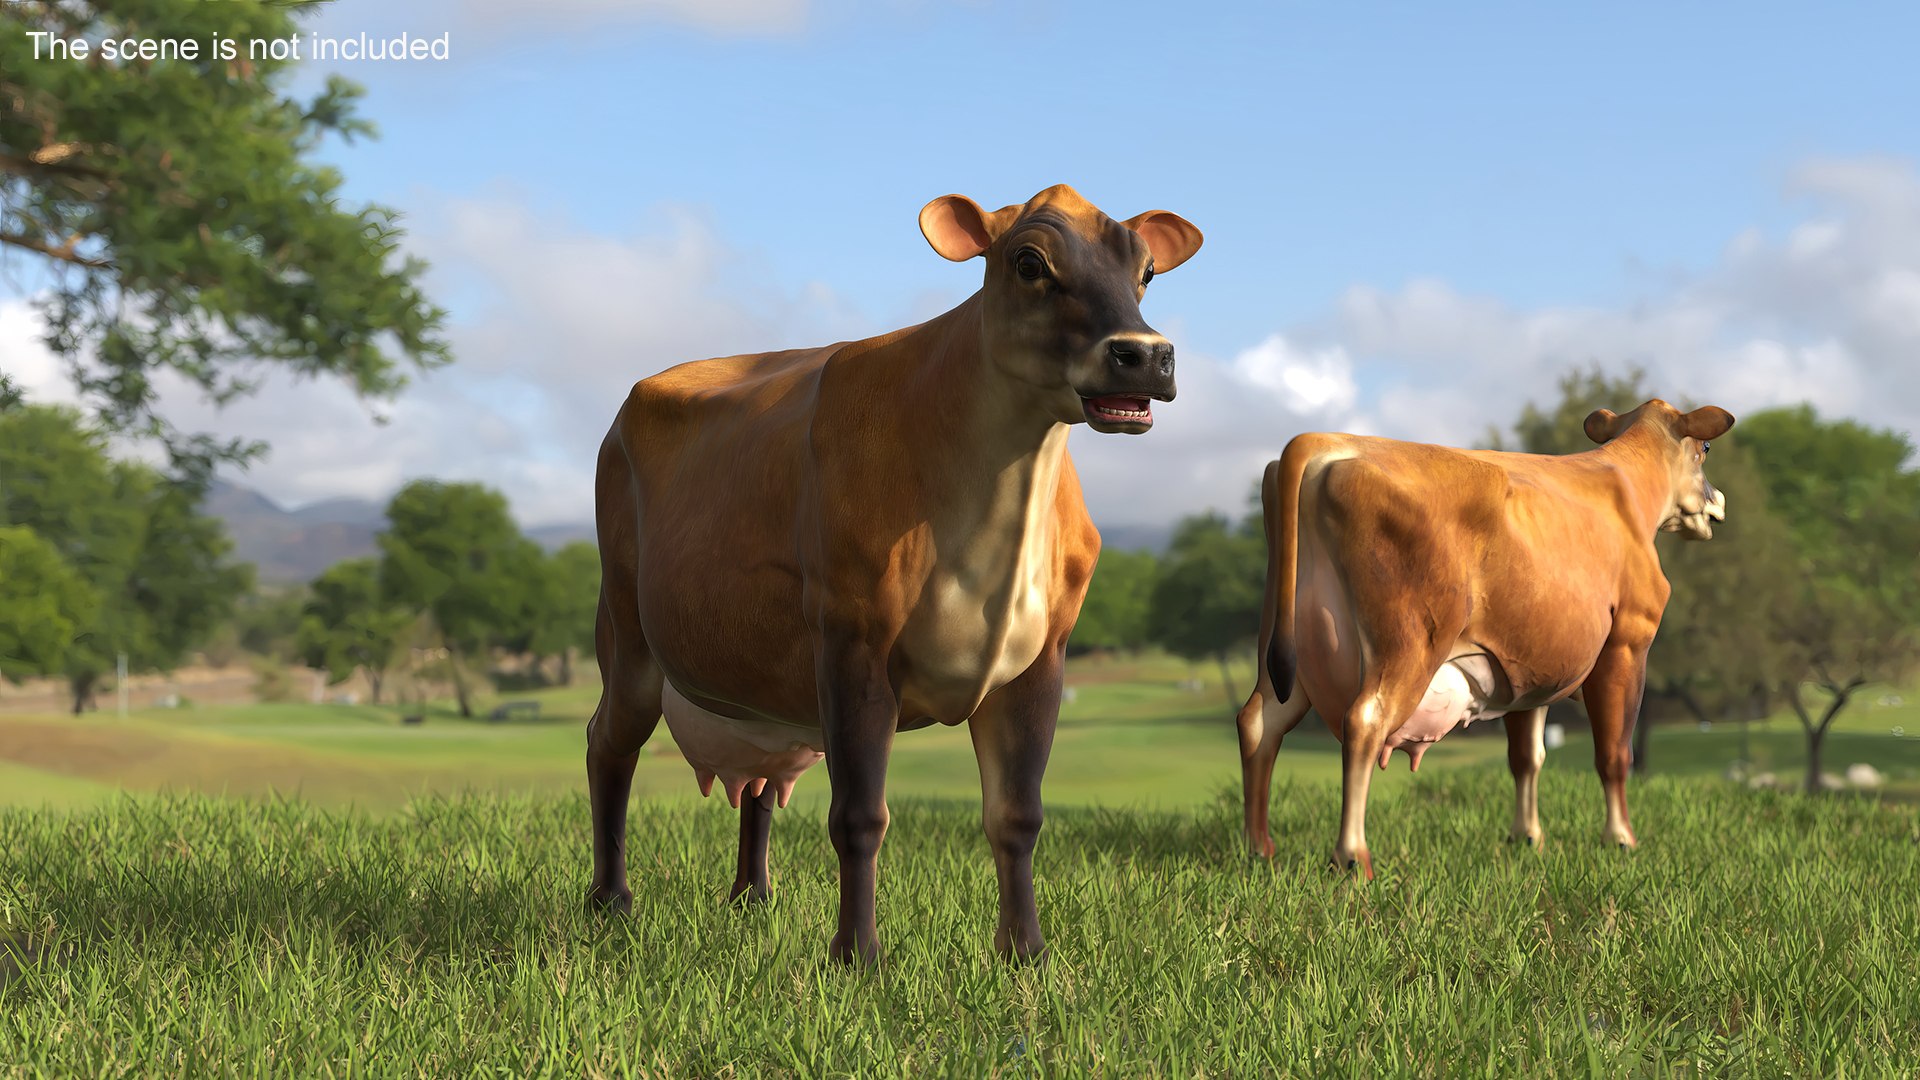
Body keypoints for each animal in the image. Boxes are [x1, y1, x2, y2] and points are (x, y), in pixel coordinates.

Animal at [586, 185, 1203, 964]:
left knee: (756, 781)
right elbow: (859, 815)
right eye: (1029, 262)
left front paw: (1025, 954)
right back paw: (609, 902)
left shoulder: (1042, 658)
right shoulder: (854, 641)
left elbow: (1017, 816)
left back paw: (753, 898)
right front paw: (858, 957)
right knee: (609, 744)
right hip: (627, 632)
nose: (1144, 355)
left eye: (1146, 270)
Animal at [1233, 399, 1735, 877]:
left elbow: (1527, 756)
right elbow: (1613, 754)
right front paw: (1620, 840)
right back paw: (1352, 859)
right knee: (1363, 722)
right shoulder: (1628, 642)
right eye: (1706, 448)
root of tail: (1327, 442)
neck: (1625, 485)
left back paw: (1259, 849)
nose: (1719, 500)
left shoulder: (1530, 665)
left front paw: (1527, 838)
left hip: (1286, 651)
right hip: (1408, 645)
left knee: (1260, 722)